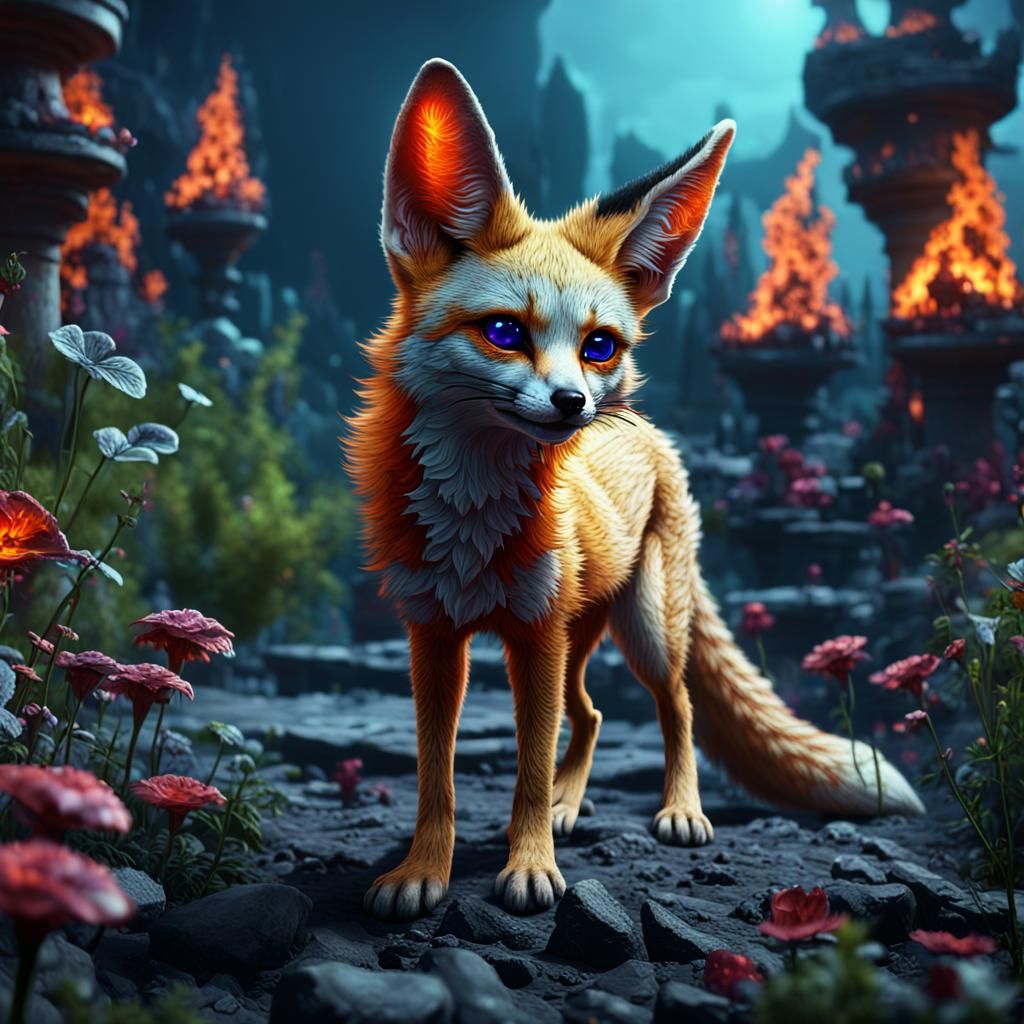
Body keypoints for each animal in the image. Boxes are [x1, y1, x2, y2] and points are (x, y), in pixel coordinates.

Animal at [345, 58, 924, 921]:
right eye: (504, 332)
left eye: (598, 346)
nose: (571, 405)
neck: (473, 524)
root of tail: (654, 435)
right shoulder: (435, 633)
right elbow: (435, 776)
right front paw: (423, 870)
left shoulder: (534, 634)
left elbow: (523, 769)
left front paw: (529, 867)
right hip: (585, 631)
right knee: (589, 715)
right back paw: (570, 802)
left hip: (644, 627)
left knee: (673, 706)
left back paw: (678, 811)